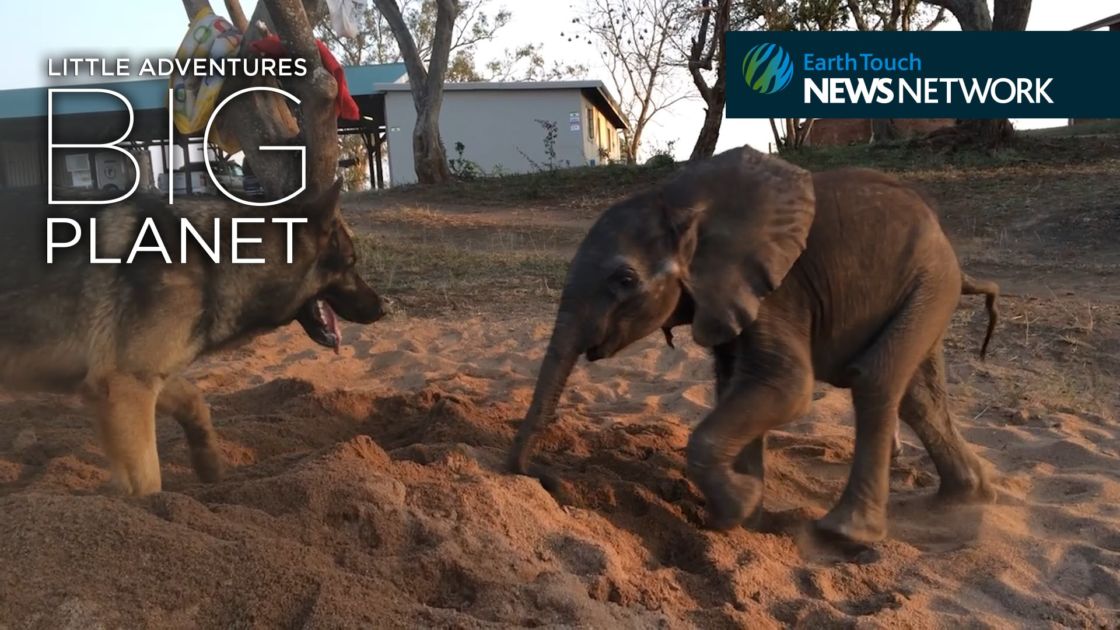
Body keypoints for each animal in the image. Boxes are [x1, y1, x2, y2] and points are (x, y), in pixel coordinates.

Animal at [508, 146, 998, 544]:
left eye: (624, 280)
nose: (548, 481)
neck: (682, 206)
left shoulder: (779, 289)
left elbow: (785, 387)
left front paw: (738, 508)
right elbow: (735, 385)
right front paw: (748, 520)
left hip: (930, 282)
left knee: (875, 380)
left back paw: (845, 535)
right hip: (925, 289)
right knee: (918, 396)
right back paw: (963, 499)